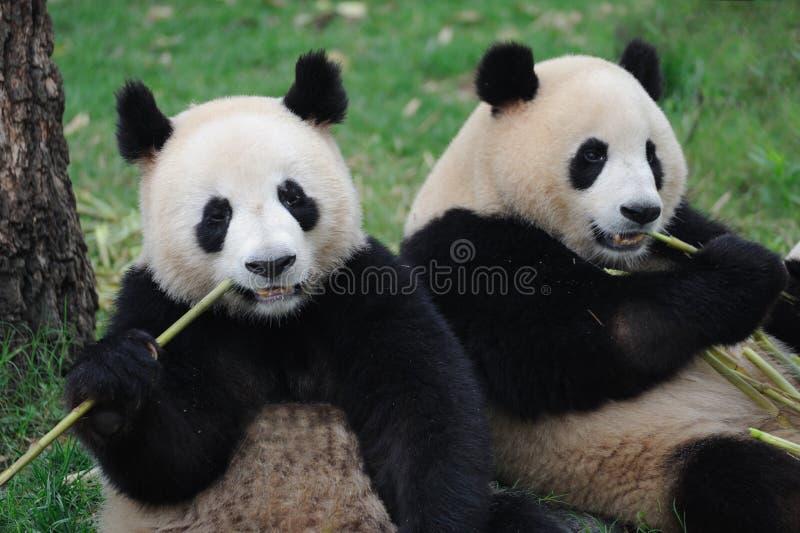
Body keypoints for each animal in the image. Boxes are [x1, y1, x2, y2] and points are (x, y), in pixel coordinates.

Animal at [64, 51, 569, 532]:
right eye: (217, 215)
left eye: (293, 196)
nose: (271, 264)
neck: (274, 321)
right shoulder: (166, 308)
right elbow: (177, 461)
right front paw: (110, 387)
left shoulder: (364, 291)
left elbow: (427, 416)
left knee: (521, 518)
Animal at [401, 40, 800, 533]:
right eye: (592, 156)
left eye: (651, 155)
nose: (641, 211)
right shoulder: (464, 252)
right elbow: (591, 340)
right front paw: (746, 270)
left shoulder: (680, 228)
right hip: (670, 453)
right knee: (741, 477)